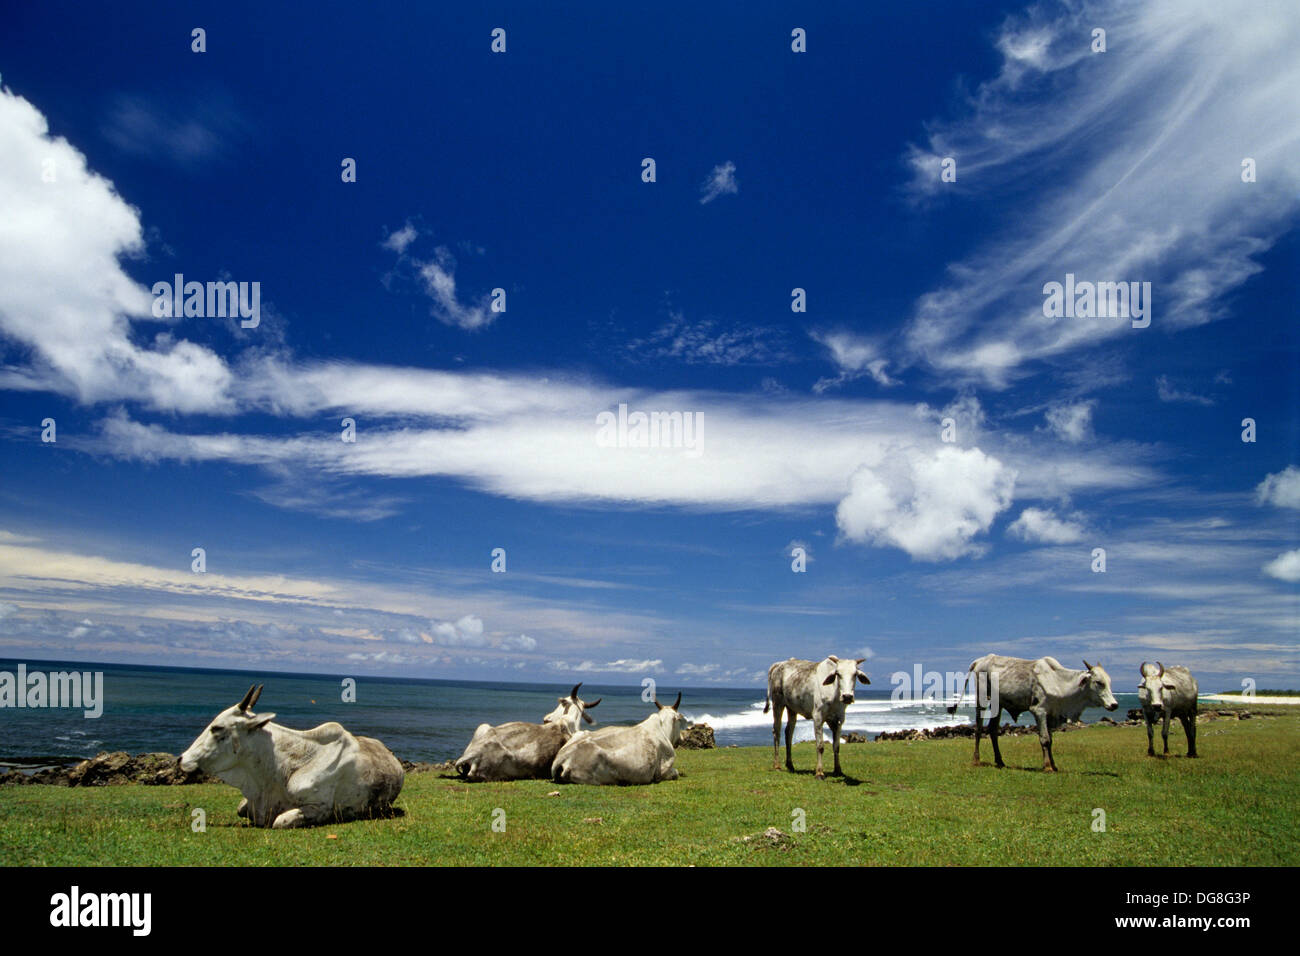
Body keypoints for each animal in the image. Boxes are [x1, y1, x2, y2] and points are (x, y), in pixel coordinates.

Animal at [551, 692, 685, 785]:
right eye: (679, 721)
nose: (680, 740)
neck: (663, 728)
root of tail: (561, 758)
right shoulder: (663, 772)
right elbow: (675, 773)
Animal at [948, 654, 1118, 771]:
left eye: (1109, 682)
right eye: (1099, 682)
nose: (1114, 705)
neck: (1058, 681)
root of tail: (979, 660)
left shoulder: (1051, 714)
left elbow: (1050, 740)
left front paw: (1053, 765)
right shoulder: (1039, 711)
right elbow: (1045, 739)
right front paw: (1047, 766)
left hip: (998, 704)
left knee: (993, 730)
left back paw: (1000, 761)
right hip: (982, 699)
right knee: (978, 729)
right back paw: (976, 760)